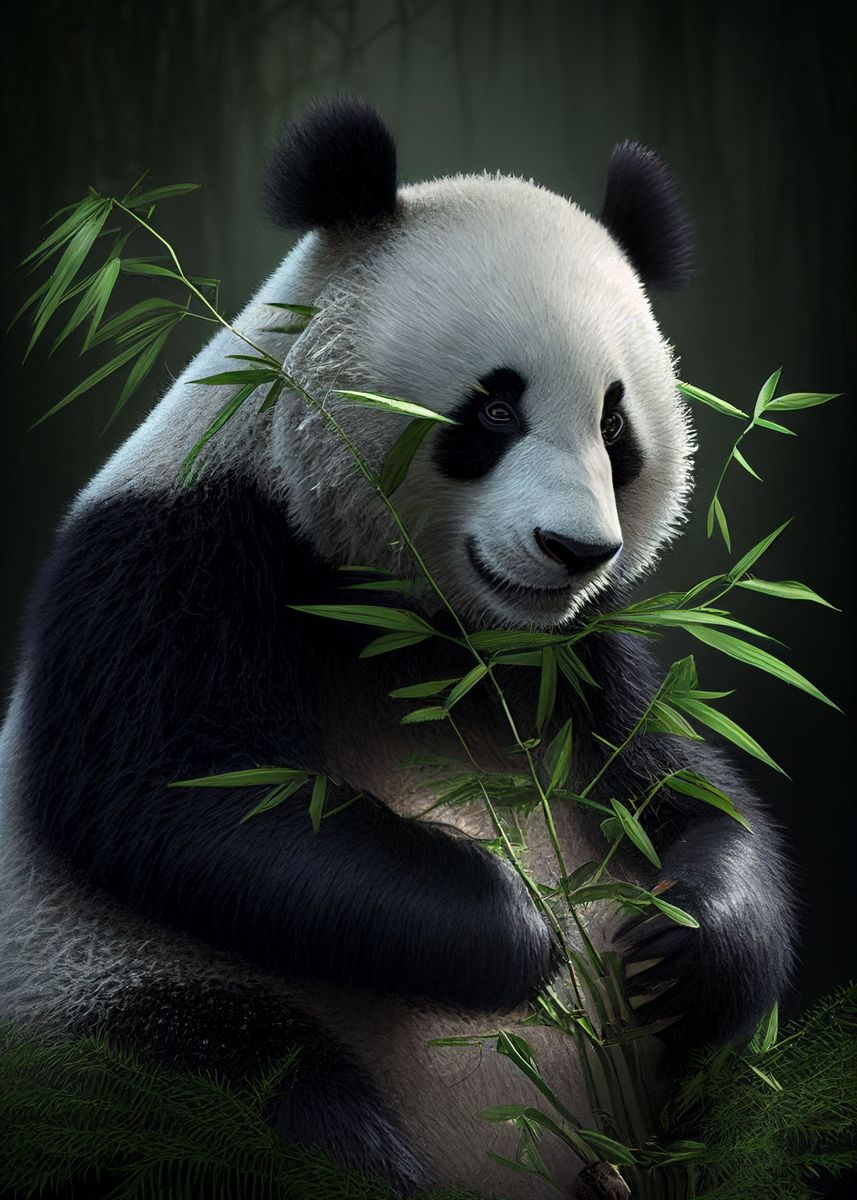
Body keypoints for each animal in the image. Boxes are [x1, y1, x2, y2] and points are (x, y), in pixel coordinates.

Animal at [0, 97, 793, 1199]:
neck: (436, 628)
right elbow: (187, 801)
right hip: (106, 994)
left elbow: (683, 783)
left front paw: (686, 936)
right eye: (493, 409)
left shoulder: (579, 652)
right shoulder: (176, 556)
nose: (574, 550)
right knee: (233, 1103)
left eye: (614, 423)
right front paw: (521, 932)